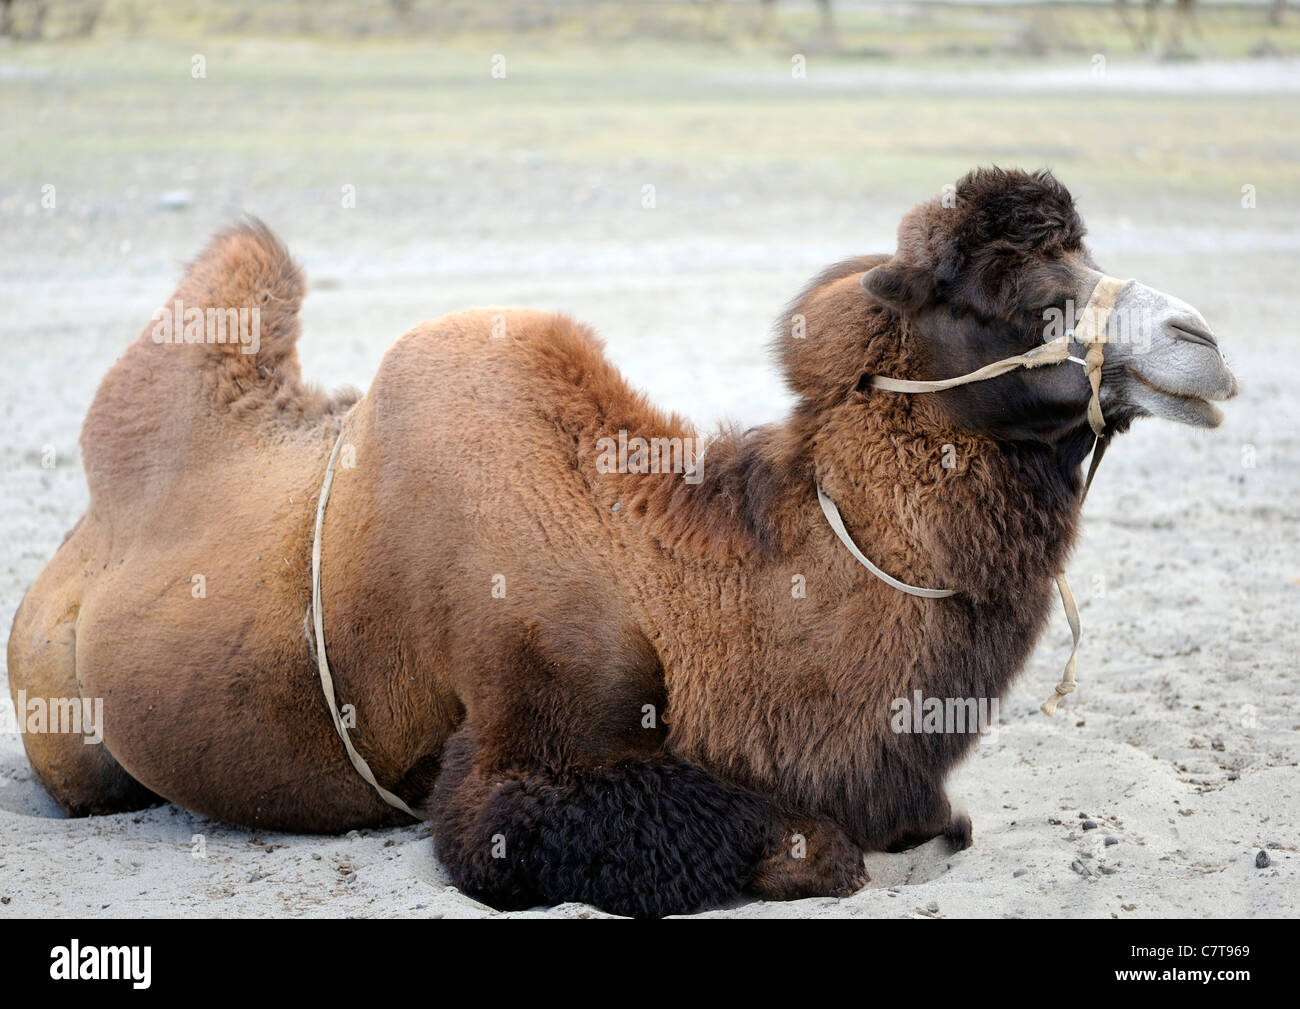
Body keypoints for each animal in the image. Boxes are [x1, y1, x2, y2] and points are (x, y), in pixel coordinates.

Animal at [9, 168, 1237, 917]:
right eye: (1003, 290)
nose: (1202, 343)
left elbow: (944, 822)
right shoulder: (508, 769)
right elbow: (811, 844)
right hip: (64, 728)